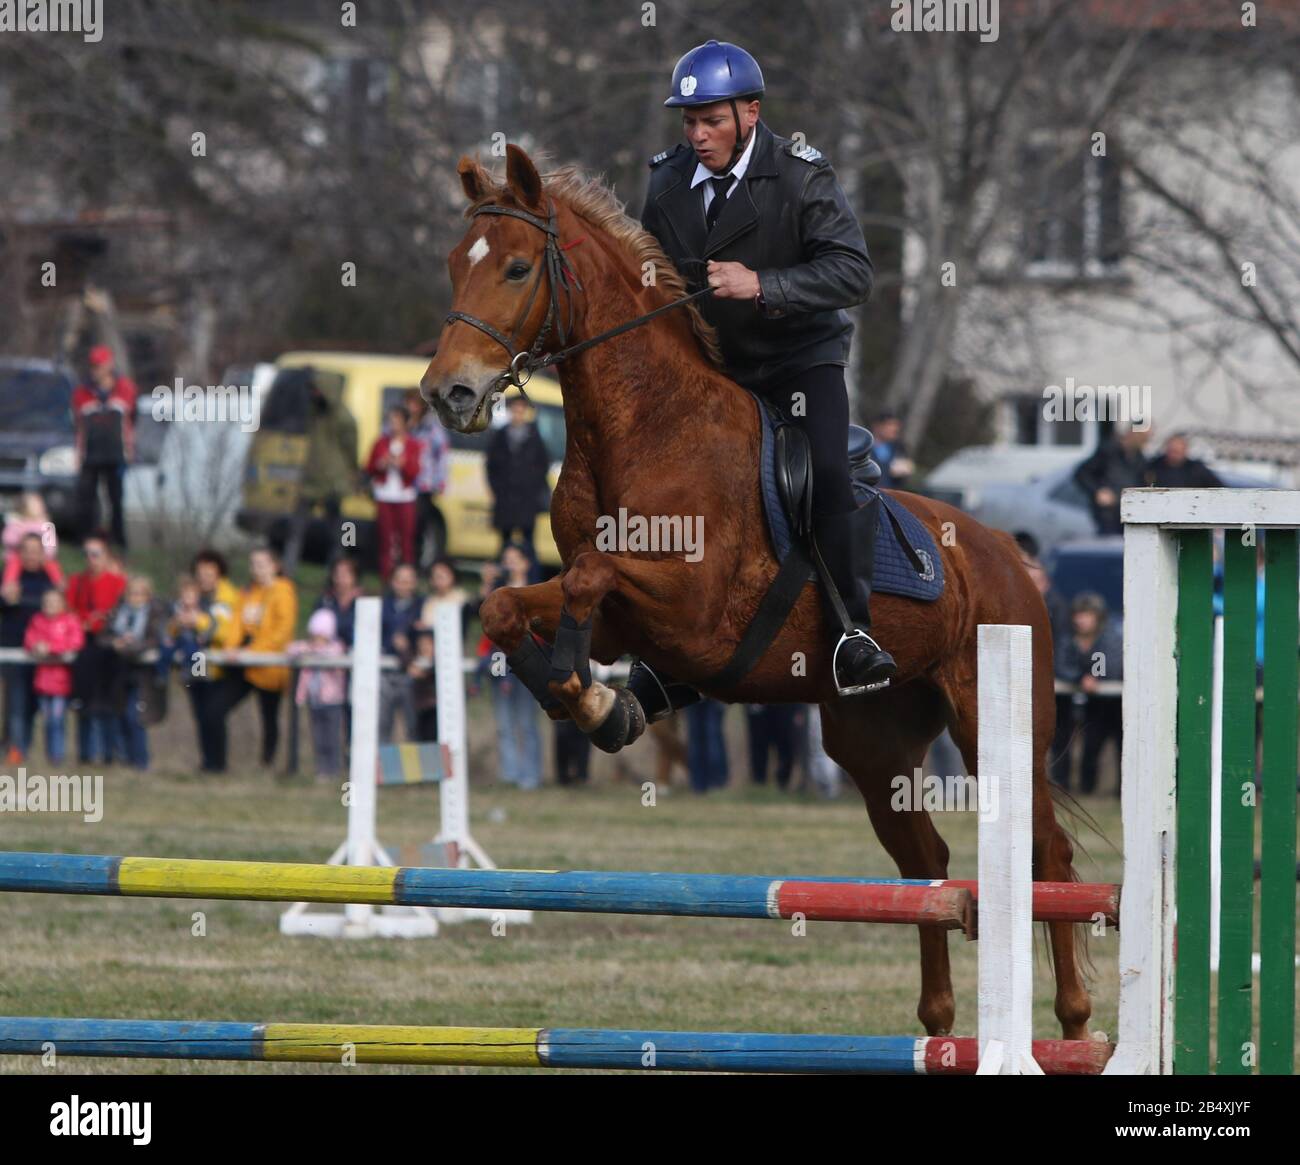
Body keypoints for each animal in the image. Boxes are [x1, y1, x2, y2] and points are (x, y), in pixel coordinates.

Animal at [421, 144, 1091, 1042]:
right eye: (457, 264)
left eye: (519, 268)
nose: (448, 392)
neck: (642, 425)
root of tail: (1011, 555)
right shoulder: (619, 622)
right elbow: (513, 603)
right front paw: (594, 700)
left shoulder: (695, 611)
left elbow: (594, 575)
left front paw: (590, 699)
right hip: (873, 742)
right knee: (928, 863)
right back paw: (939, 1023)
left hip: (994, 724)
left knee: (1046, 853)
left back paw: (1076, 1021)